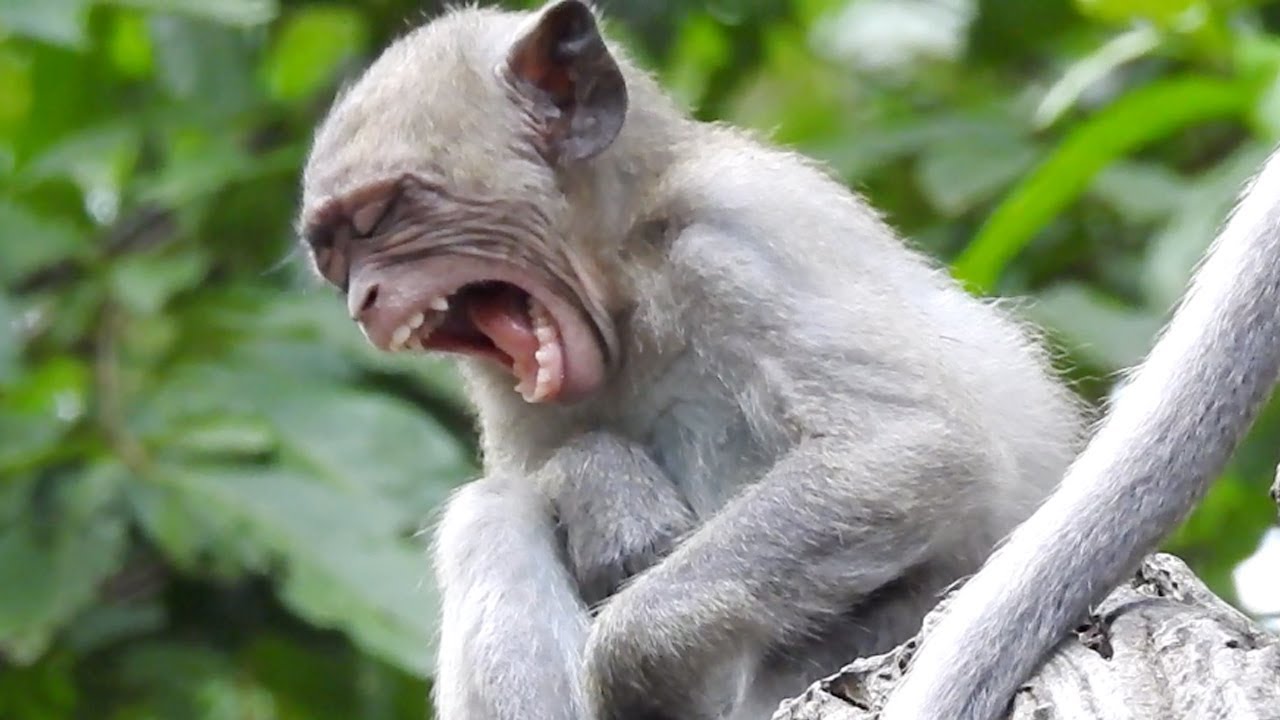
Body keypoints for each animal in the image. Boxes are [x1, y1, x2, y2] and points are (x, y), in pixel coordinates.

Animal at [295, 1, 1086, 719]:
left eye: (380, 215)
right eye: (331, 250)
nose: (361, 298)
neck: (626, 263)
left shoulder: (737, 242)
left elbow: (911, 450)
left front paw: (628, 664)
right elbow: (537, 475)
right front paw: (600, 481)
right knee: (492, 515)